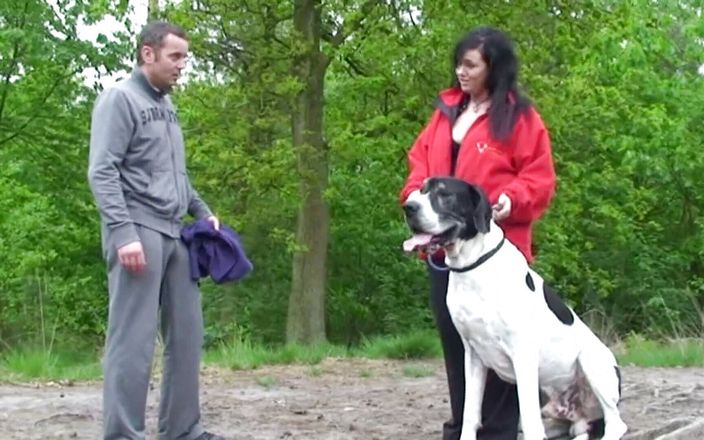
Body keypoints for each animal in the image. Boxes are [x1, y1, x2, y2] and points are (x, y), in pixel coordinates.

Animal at [402, 176, 628, 440]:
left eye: (444, 194)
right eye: (421, 190)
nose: (408, 207)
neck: (473, 266)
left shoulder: (523, 353)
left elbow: (529, 420)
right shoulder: (472, 354)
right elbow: (470, 413)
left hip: (592, 363)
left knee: (615, 423)